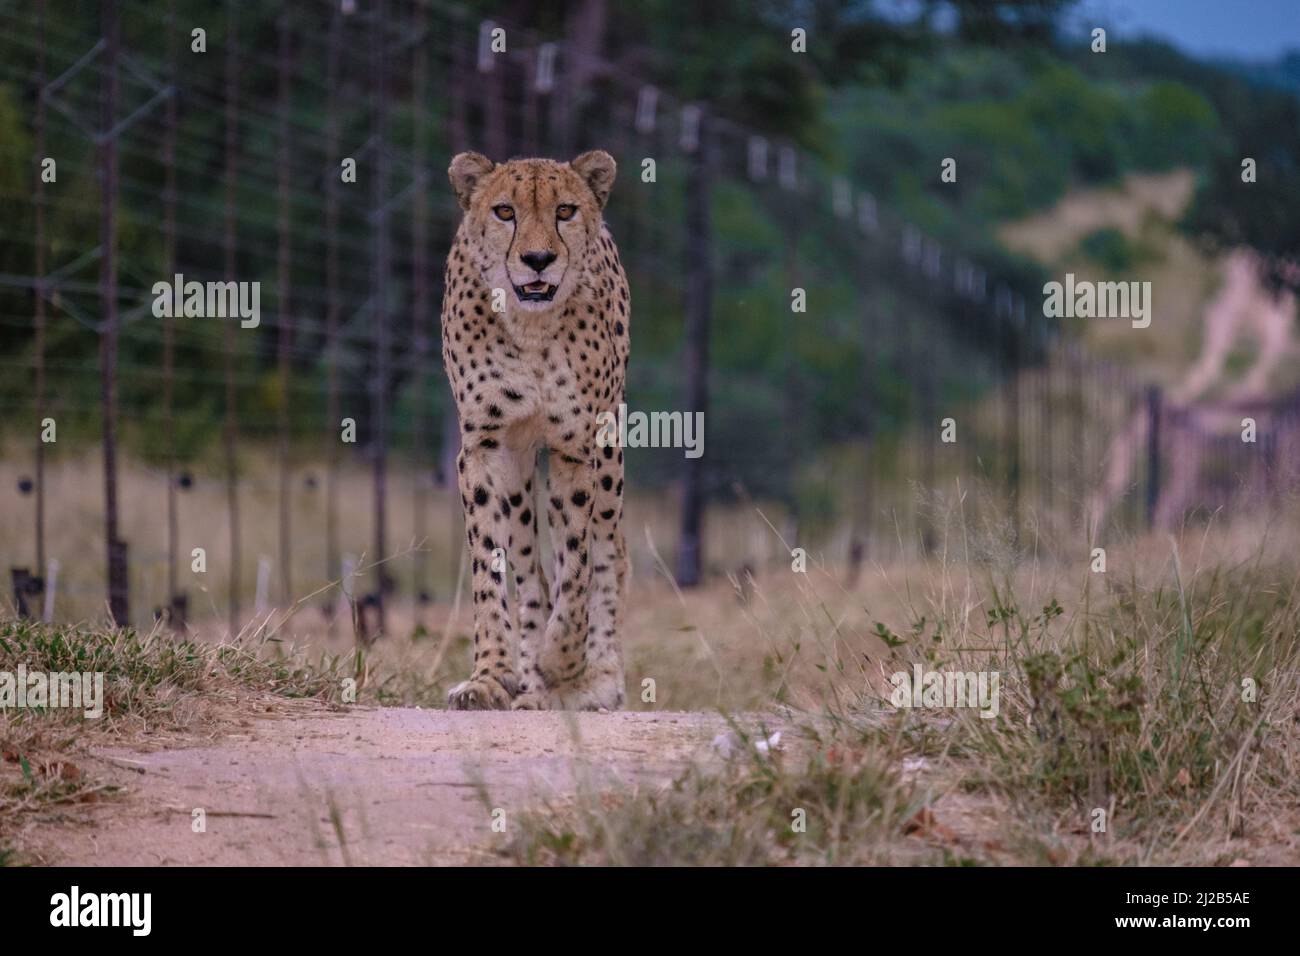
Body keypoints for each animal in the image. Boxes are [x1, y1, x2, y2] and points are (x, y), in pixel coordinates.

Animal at [440, 150, 630, 712]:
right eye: (505, 212)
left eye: (565, 210)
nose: (539, 259)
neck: (530, 327)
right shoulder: (483, 445)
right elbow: (490, 569)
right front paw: (490, 675)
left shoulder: (576, 447)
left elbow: (578, 565)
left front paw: (562, 660)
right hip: (519, 468)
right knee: (527, 567)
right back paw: (528, 682)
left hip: (610, 455)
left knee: (608, 551)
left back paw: (595, 678)